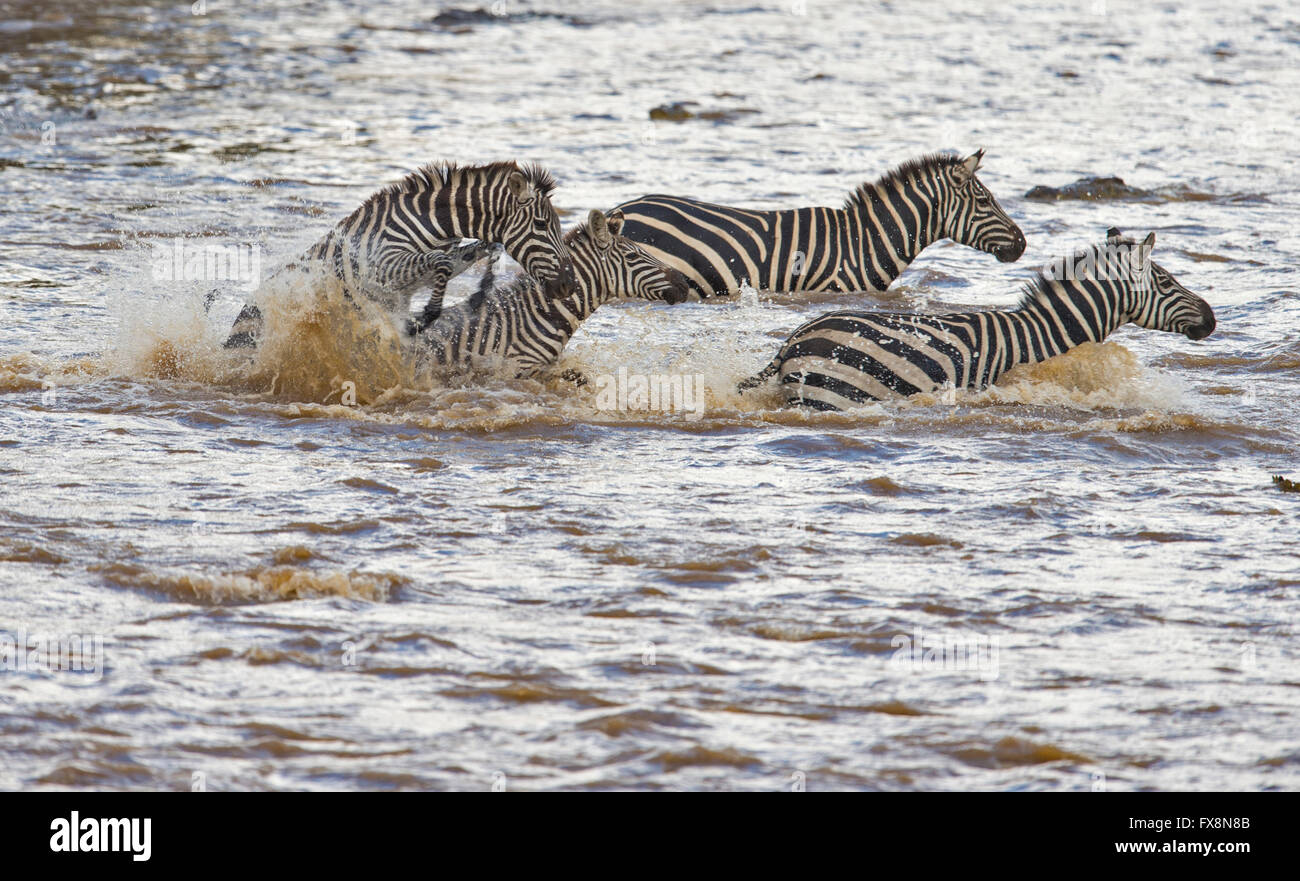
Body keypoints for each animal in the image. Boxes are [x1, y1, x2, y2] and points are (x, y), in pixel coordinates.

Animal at [220, 160, 575, 348]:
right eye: (542, 224)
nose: (568, 285)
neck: (431, 221)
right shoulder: (382, 267)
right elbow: (440, 262)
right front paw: (424, 316)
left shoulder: (427, 267)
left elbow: (483, 248)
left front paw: (482, 288)